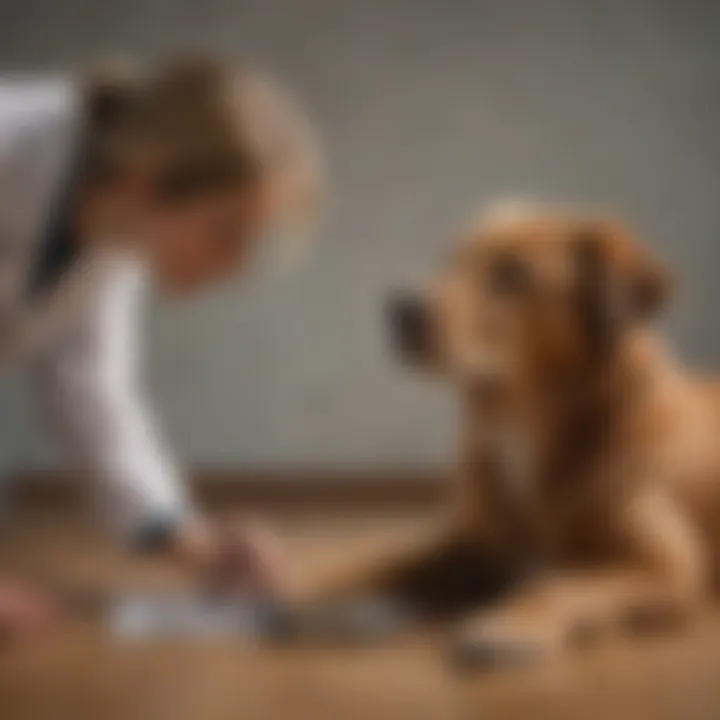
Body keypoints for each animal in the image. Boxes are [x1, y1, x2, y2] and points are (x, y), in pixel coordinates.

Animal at [310, 200, 720, 668]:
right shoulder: (472, 538)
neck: (522, 429)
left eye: (513, 275)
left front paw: (509, 626)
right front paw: (305, 581)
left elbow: (558, 583)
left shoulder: (668, 566)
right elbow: (386, 556)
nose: (400, 311)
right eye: (450, 260)